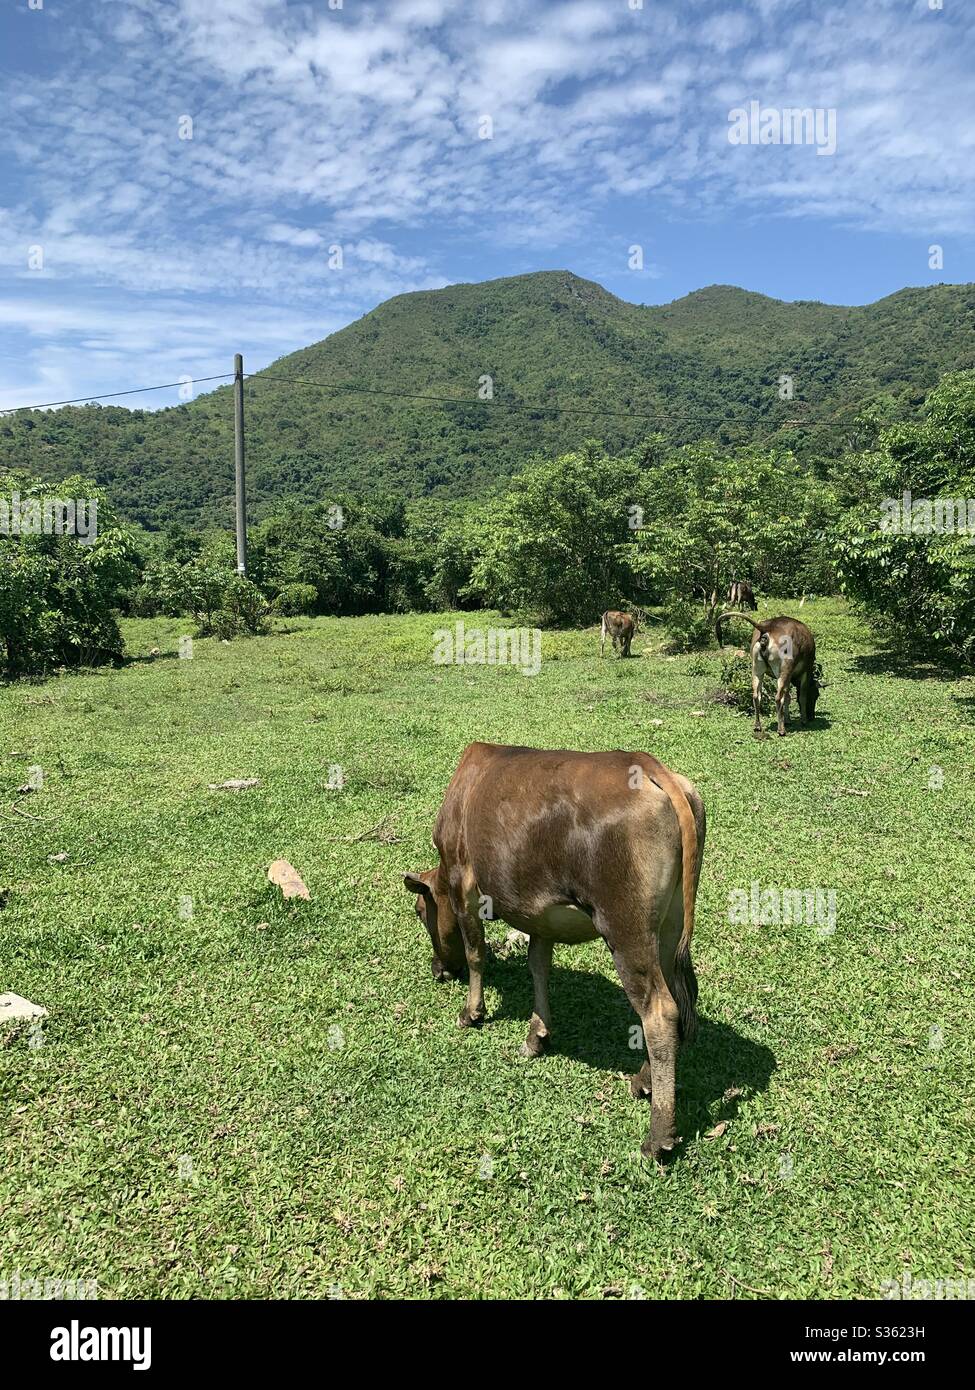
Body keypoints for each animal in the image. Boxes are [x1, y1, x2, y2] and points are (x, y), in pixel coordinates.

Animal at [403, 742, 706, 1161]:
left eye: (420, 911)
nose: (438, 969)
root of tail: (650, 765)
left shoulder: (463, 880)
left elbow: (476, 950)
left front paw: (472, 1012)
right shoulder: (538, 911)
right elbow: (538, 966)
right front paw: (537, 1035)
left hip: (626, 928)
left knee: (659, 1011)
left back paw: (658, 1135)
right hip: (668, 926)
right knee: (681, 995)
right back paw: (643, 1080)